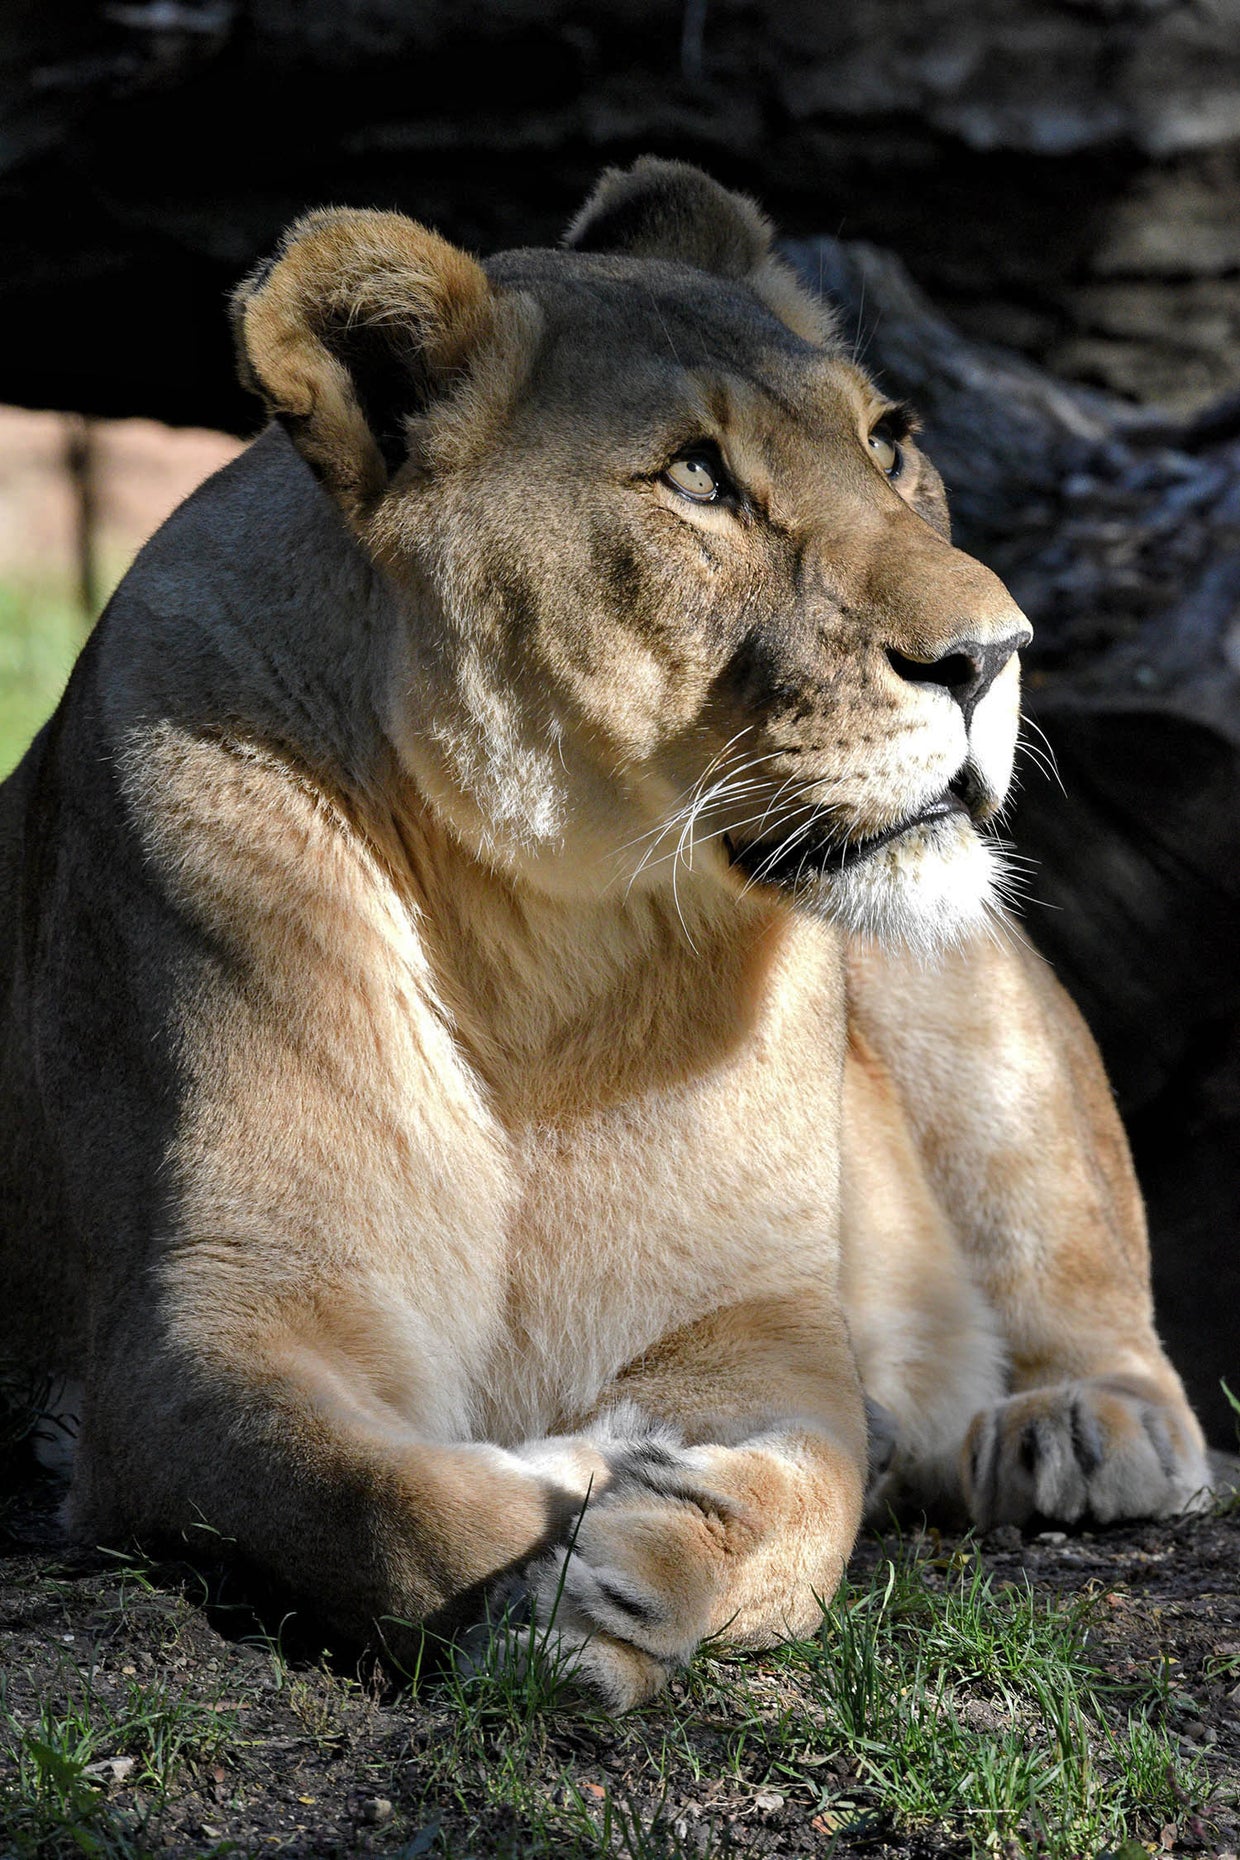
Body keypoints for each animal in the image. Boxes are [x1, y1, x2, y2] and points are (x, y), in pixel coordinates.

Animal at [0, 159, 1208, 1708]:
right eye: (697, 478)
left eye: (890, 445)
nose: (996, 653)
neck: (550, 957)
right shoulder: (198, 1334)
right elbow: (373, 1500)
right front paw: (580, 1503)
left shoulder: (762, 1320)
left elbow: (809, 1486)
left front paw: (636, 1558)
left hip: (968, 992)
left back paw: (1078, 1431)